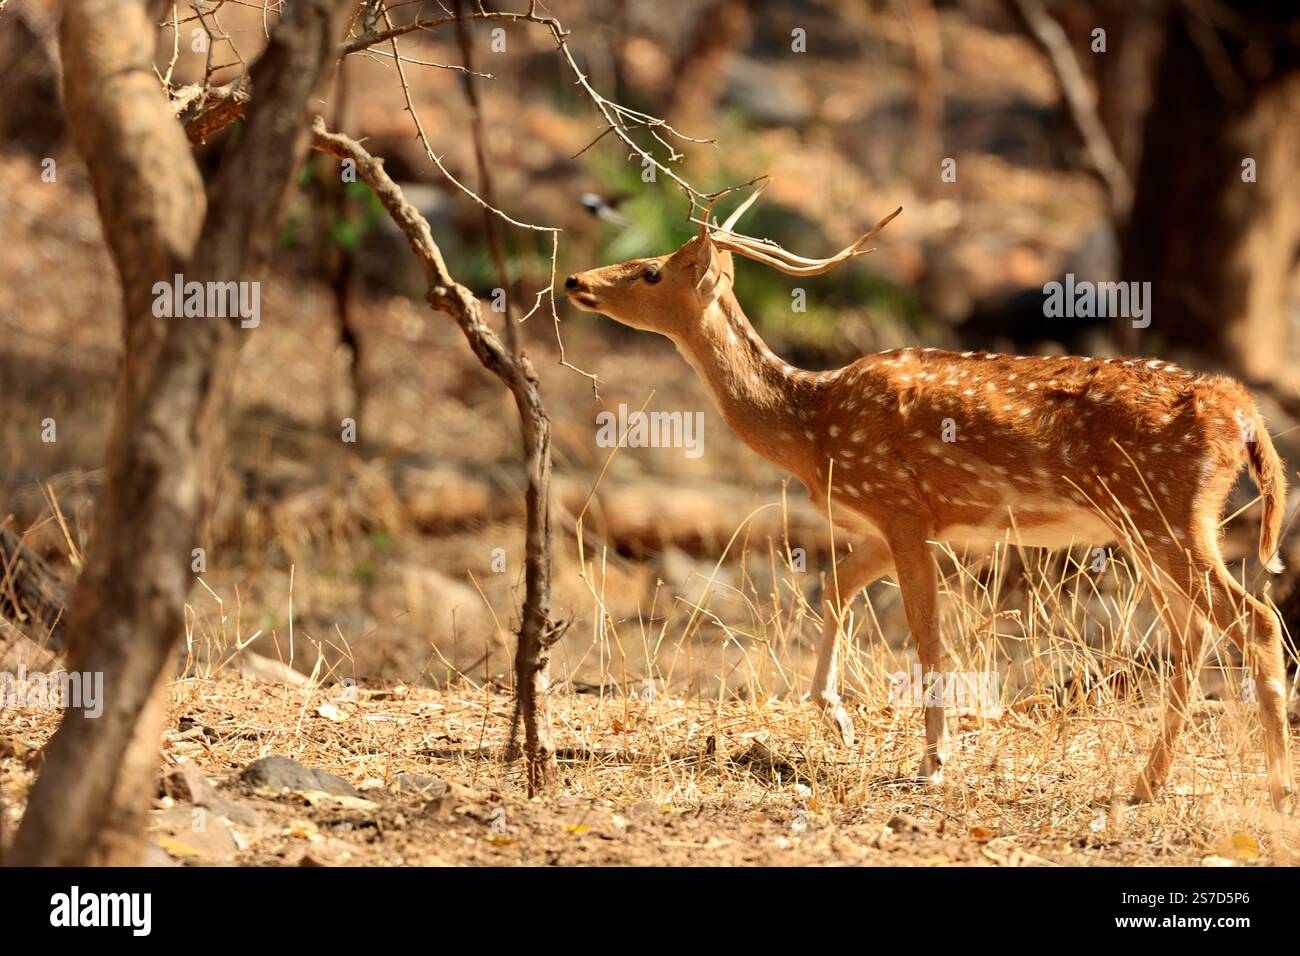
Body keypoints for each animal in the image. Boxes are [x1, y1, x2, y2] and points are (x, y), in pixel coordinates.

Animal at [565, 190, 1296, 807]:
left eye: (651, 271)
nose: (575, 281)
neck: (812, 429)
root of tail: (1242, 411)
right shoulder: (890, 519)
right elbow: (835, 585)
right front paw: (838, 721)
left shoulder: (900, 505)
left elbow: (924, 631)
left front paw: (933, 762)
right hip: (1152, 527)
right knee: (1192, 634)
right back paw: (1145, 785)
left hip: (1167, 514)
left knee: (1254, 618)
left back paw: (1274, 788)